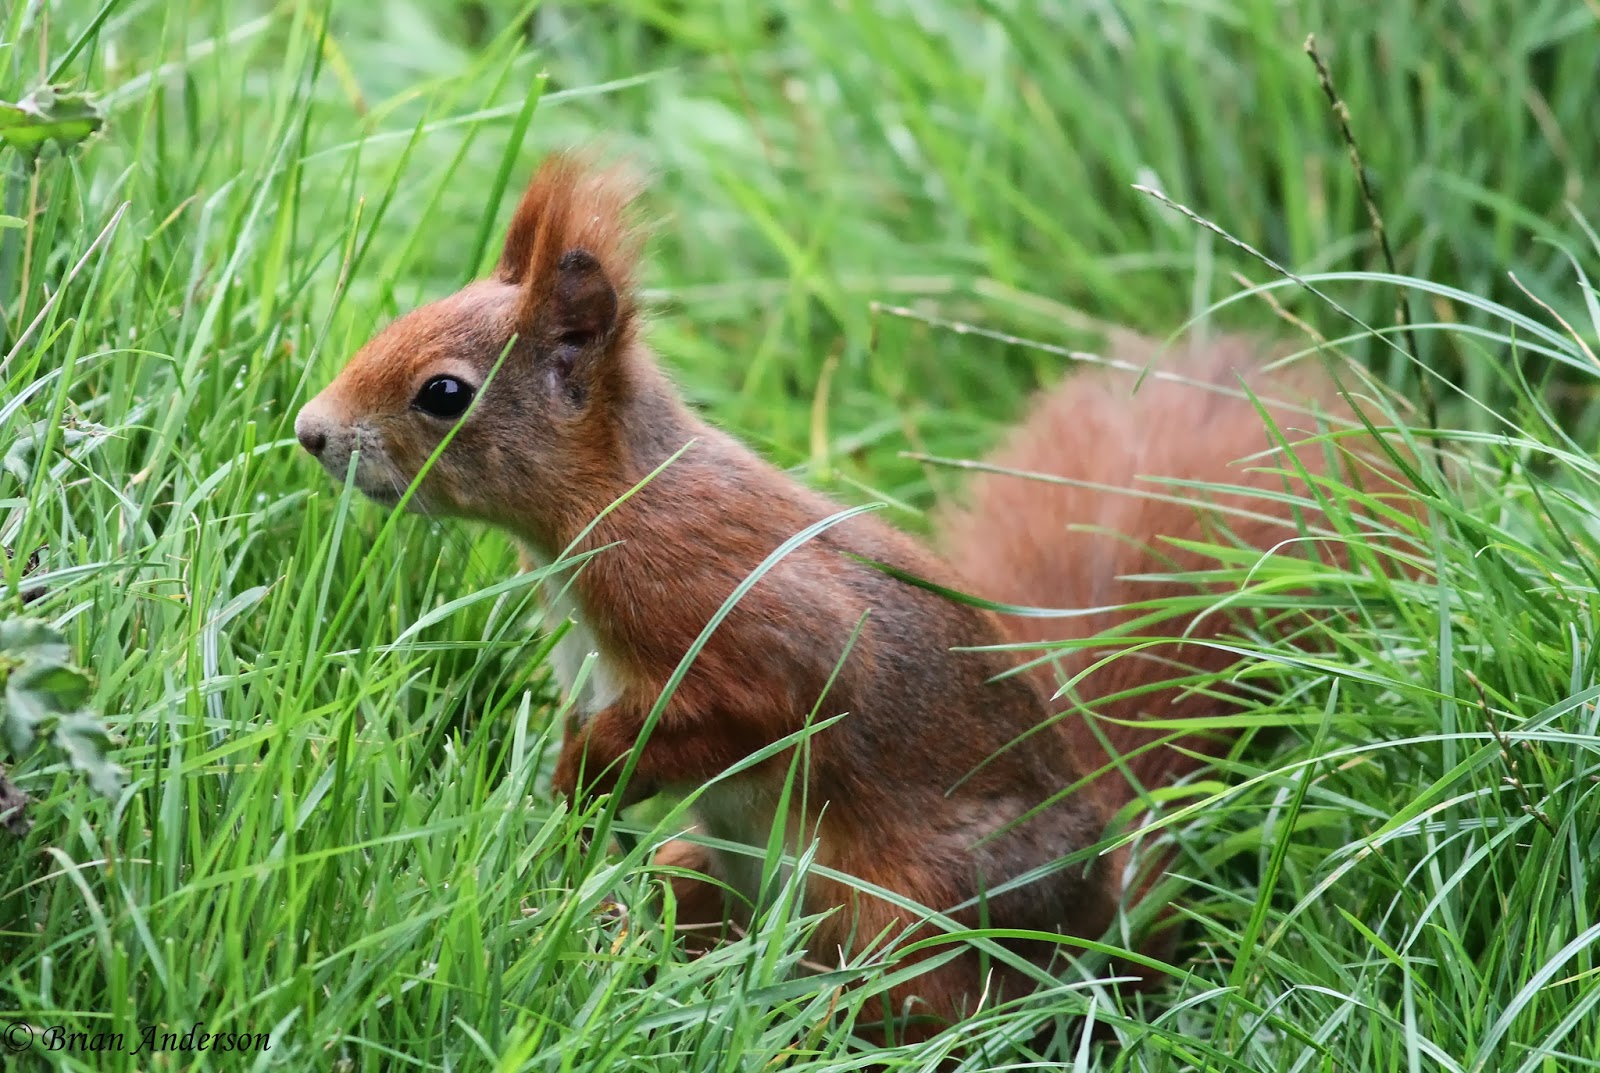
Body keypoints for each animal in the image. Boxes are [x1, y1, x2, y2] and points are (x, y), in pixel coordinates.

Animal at [293, 151, 1397, 1041]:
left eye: (443, 393)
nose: (310, 430)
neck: (609, 503)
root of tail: (1103, 914)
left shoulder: (732, 613)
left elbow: (756, 703)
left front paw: (587, 775)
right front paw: (564, 818)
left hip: (904, 909)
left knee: (930, 1010)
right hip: (716, 863)